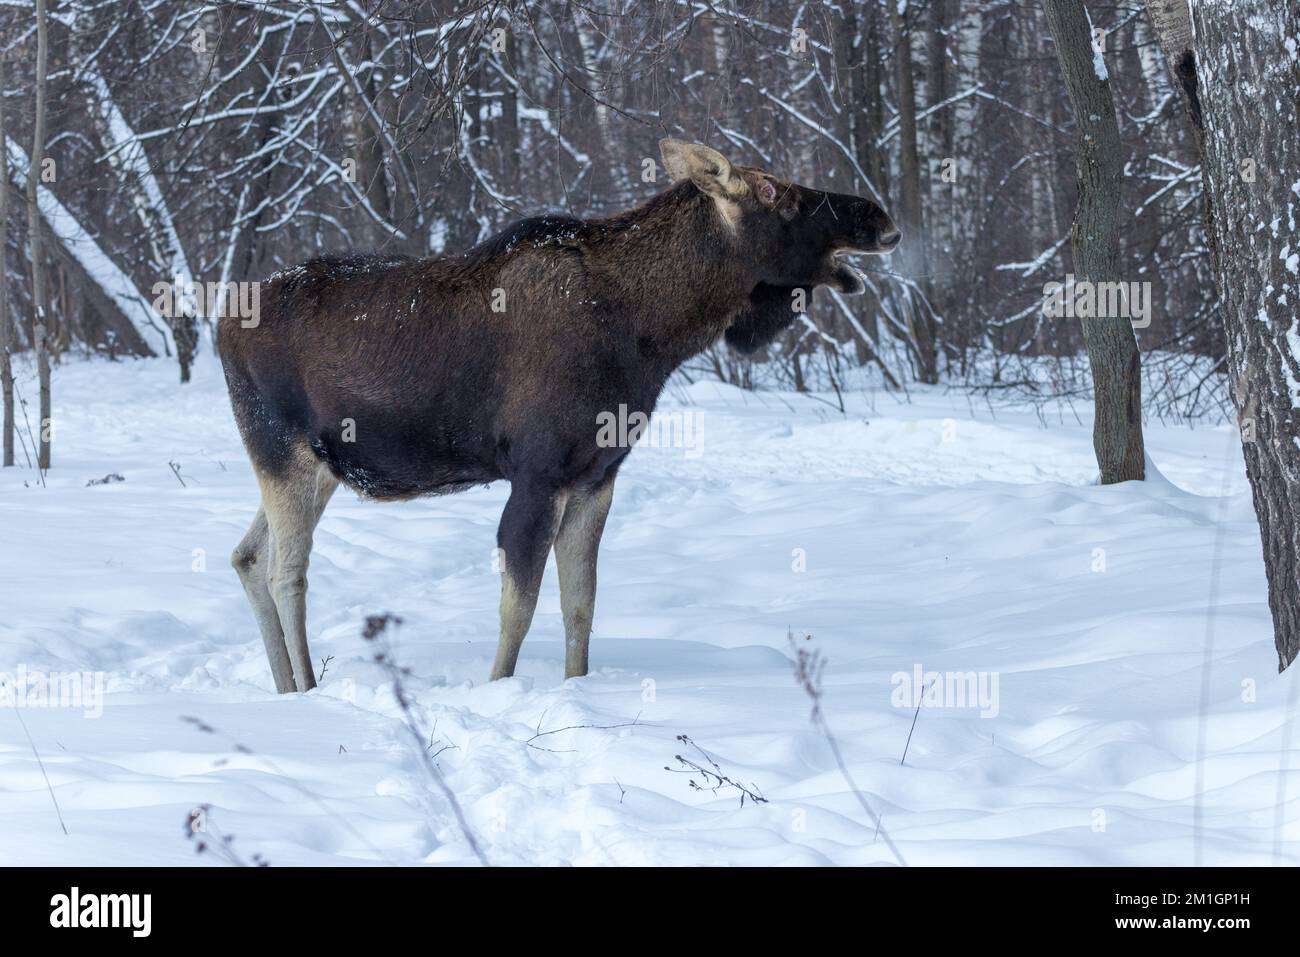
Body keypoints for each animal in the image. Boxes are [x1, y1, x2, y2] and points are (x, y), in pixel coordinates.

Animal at [217, 139, 900, 693]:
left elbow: (581, 604)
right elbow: (518, 611)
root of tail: (221, 321)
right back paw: (308, 690)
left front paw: (577, 691)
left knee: (246, 556)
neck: (654, 334)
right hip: (282, 450)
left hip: (320, 467)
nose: (879, 216)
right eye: (774, 192)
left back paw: (285, 688)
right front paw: (500, 693)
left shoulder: (596, 477)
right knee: (286, 574)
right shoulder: (539, 474)